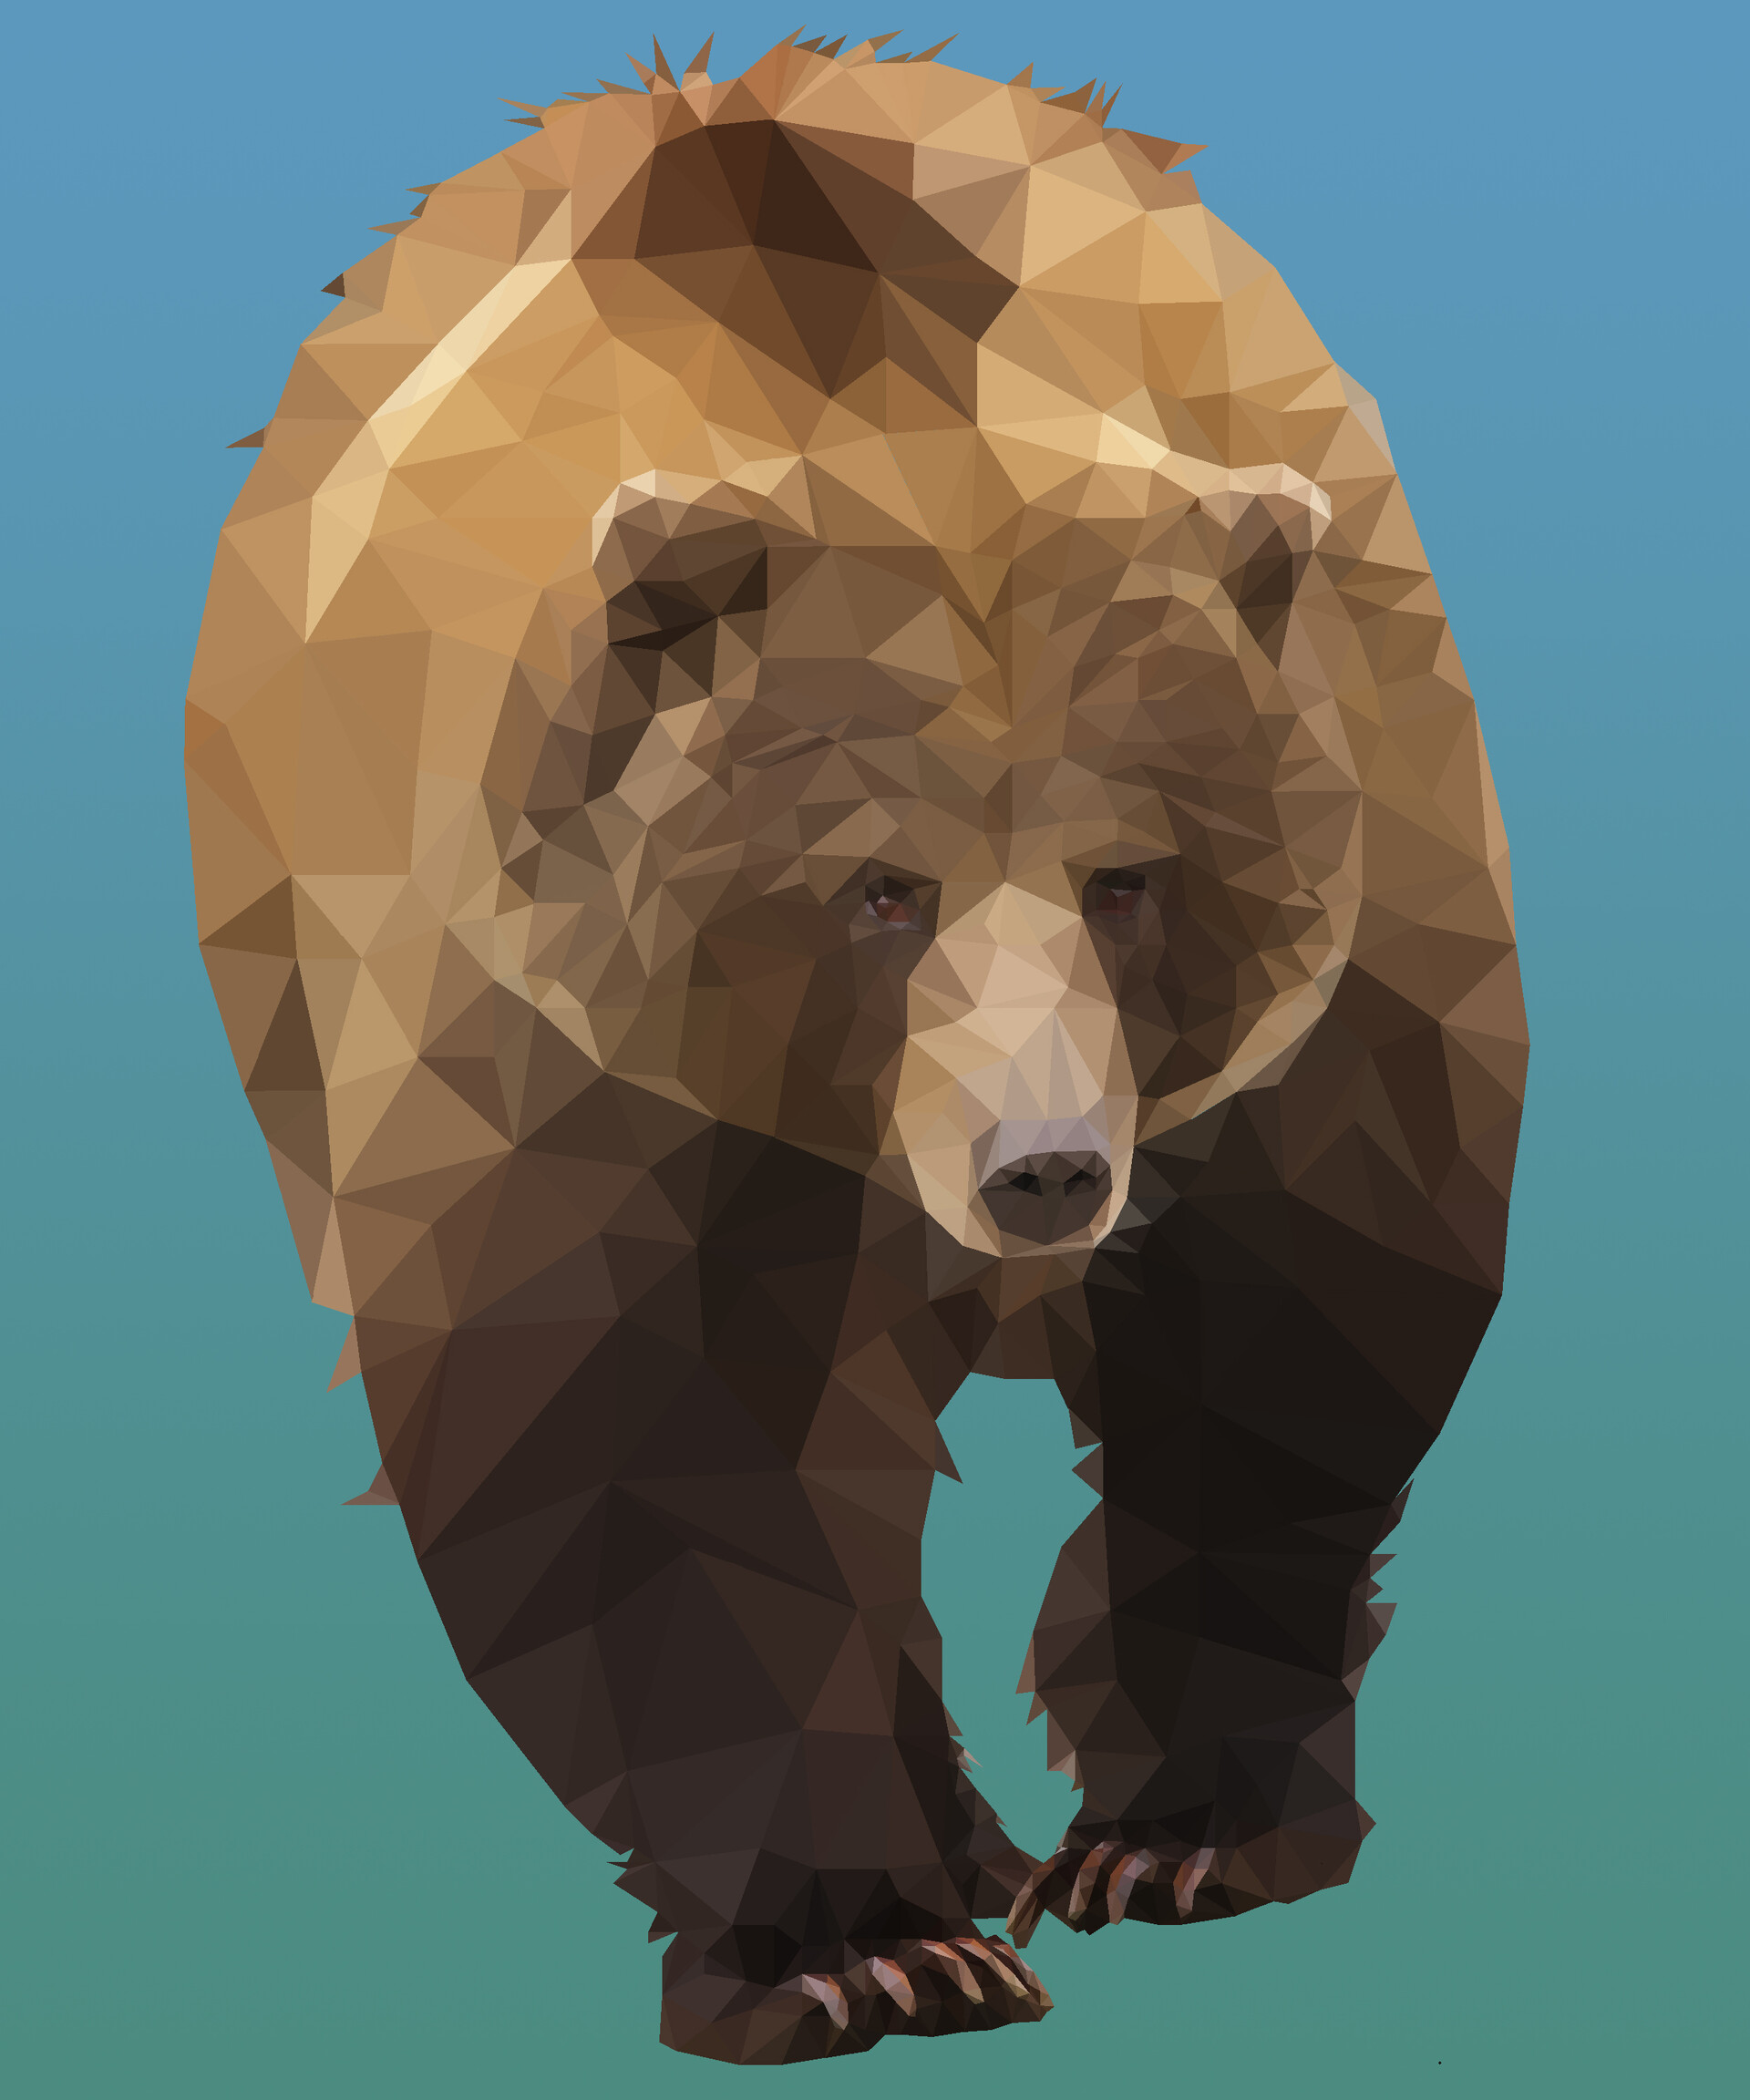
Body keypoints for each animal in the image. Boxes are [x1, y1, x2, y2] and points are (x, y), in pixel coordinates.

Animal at [186, 32, 1527, 2066]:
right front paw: (868, 1947)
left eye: (1131, 874)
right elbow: (633, 1447)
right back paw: (956, 1843)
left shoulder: (1314, 996)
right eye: (881, 887)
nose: (1045, 1168)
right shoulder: (574, 1044)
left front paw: (1180, 1833)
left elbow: (1292, 1337)